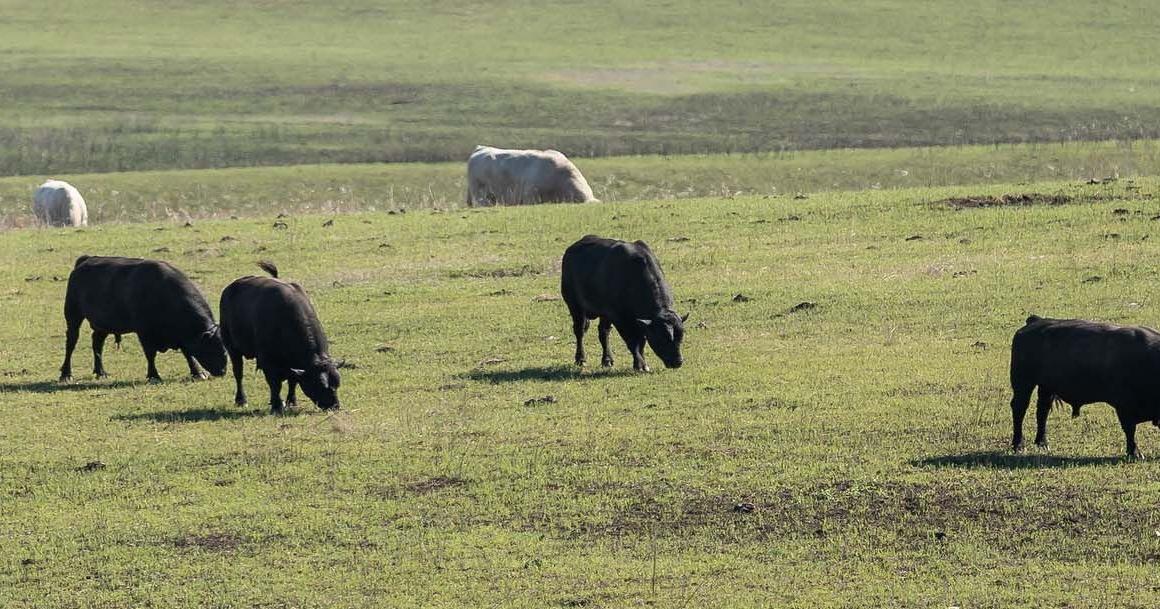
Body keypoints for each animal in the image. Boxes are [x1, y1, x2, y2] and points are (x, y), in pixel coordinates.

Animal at [59, 256, 226, 383]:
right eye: (211, 347)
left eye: (224, 348)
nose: (223, 370)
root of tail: (86, 260)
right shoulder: (144, 333)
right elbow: (150, 354)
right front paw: (154, 376)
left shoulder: (182, 336)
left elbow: (188, 354)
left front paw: (198, 372)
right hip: (73, 316)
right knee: (71, 343)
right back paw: (66, 374)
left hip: (103, 325)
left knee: (97, 344)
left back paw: (101, 372)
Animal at [219, 262, 340, 413]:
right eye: (320, 385)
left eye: (337, 384)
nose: (335, 406)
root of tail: (229, 289)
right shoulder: (268, 362)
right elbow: (275, 384)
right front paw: (277, 405)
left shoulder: (293, 365)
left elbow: (293, 381)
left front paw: (291, 401)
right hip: (232, 348)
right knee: (238, 373)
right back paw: (241, 399)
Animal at [561, 235, 688, 372]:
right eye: (662, 338)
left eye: (681, 337)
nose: (677, 362)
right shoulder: (620, 319)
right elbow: (632, 342)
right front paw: (640, 364)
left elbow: (641, 342)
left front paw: (641, 363)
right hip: (575, 306)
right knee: (579, 331)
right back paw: (581, 359)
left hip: (604, 314)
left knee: (603, 333)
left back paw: (607, 360)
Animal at [1010, 315, 1160, 459]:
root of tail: (1036, 321)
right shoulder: (1124, 406)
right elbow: (1130, 429)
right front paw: (1135, 453)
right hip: (1023, 383)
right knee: (1019, 408)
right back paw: (1018, 445)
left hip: (1046, 387)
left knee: (1042, 410)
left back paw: (1042, 443)